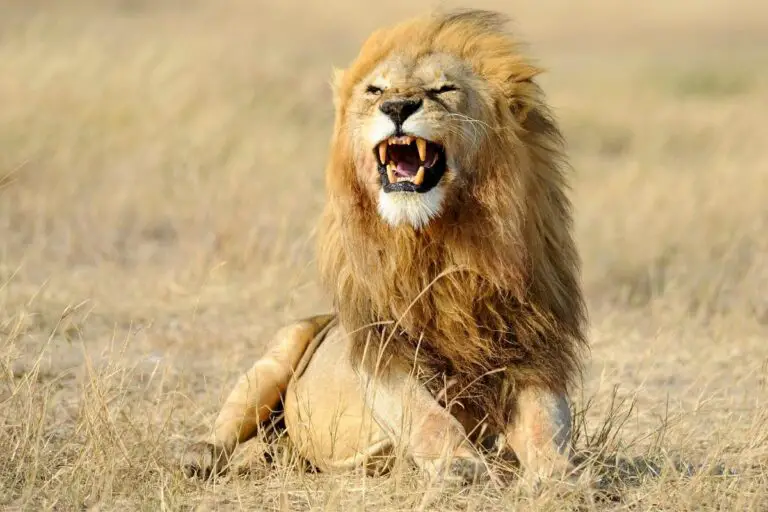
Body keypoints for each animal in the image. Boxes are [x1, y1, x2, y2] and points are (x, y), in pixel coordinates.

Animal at [181, 9, 588, 487]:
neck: (441, 242)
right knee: (229, 422)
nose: (397, 108)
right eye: (375, 90)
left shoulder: (533, 348)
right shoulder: (381, 346)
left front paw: (560, 474)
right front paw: (460, 465)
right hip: (278, 354)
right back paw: (199, 455)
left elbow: (546, 423)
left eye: (444, 89)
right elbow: (426, 416)